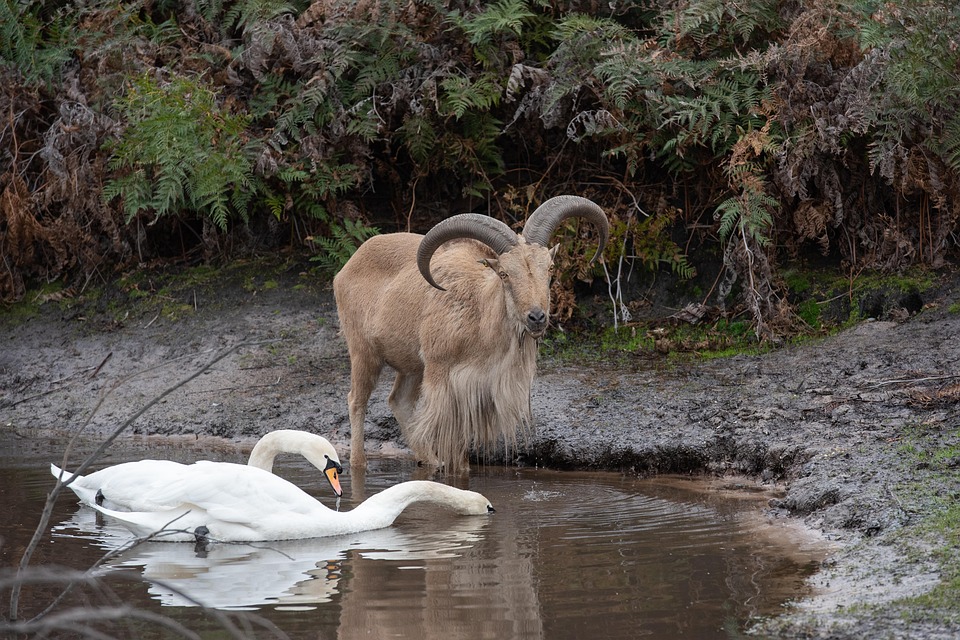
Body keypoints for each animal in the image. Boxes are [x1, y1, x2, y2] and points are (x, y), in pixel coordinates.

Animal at [333, 195, 608, 473]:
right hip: (364, 352)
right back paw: (361, 462)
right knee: (357, 401)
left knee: (398, 401)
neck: (479, 319)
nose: (537, 317)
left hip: (412, 366)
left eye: (550, 268)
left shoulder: (475, 391)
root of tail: (348, 266)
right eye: (504, 273)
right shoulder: (441, 374)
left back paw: (429, 459)